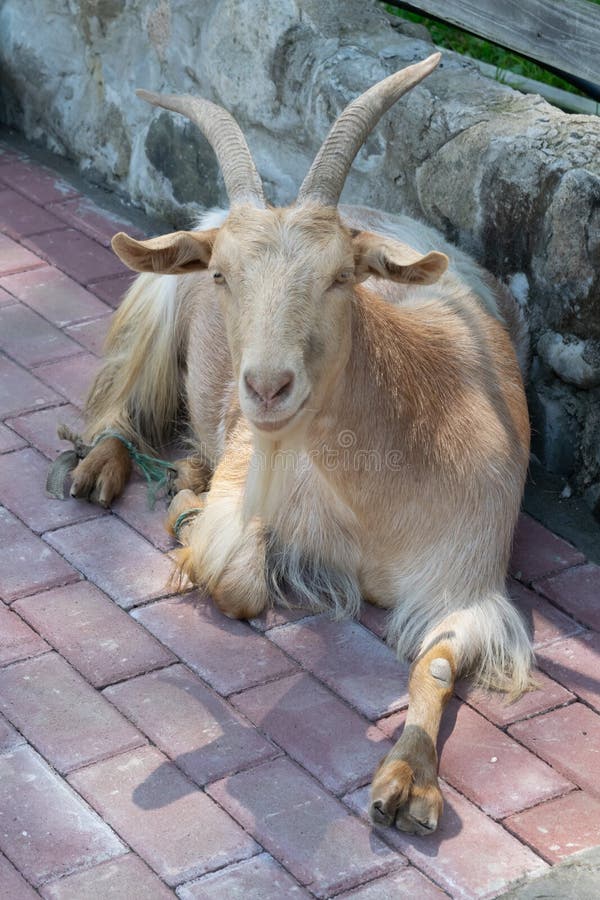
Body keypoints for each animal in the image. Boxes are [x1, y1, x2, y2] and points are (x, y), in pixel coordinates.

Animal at [68, 53, 532, 835]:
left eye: (343, 276)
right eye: (222, 274)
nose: (266, 388)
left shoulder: (470, 577)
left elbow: (436, 663)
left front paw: (408, 782)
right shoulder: (248, 489)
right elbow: (235, 579)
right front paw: (185, 513)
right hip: (155, 310)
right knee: (118, 398)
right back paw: (99, 467)